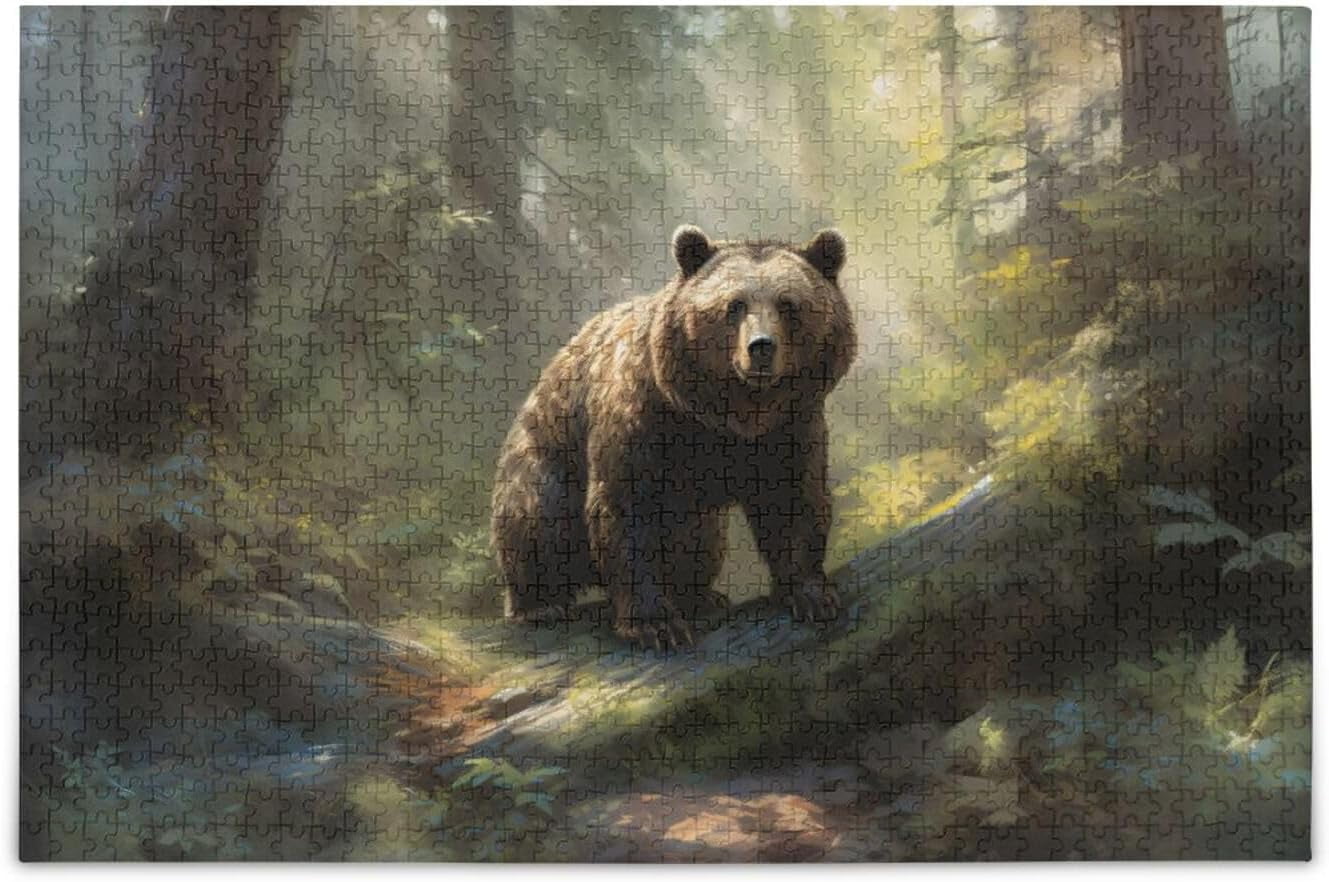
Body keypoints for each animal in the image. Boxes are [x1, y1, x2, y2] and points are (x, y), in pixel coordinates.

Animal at [491, 225, 856, 650]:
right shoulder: (644, 420)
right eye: (734, 305)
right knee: (538, 522)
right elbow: (627, 510)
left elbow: (793, 500)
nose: (761, 347)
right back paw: (541, 605)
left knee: (700, 542)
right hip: (544, 460)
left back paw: (700, 596)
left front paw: (811, 594)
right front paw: (655, 624)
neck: (733, 414)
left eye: (788, 304)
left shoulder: (789, 427)